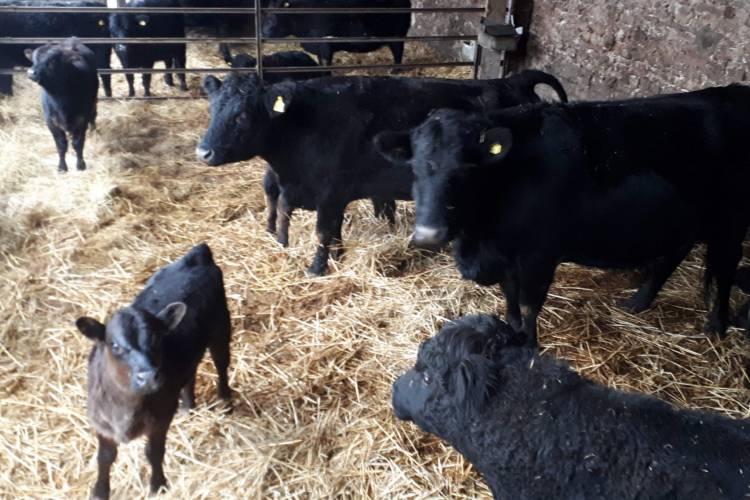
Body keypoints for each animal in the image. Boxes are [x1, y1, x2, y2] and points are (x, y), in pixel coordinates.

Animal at [27, 38, 98, 172]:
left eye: (53, 60)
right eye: (33, 60)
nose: (31, 72)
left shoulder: (82, 120)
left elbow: (78, 144)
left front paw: (80, 165)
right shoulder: (51, 122)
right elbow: (61, 145)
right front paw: (62, 167)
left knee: (94, 115)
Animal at [75, 243, 232, 500]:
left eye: (158, 339)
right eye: (114, 345)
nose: (149, 376)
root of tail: (197, 254)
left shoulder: (160, 419)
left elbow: (153, 452)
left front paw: (158, 485)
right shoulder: (101, 422)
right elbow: (105, 458)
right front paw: (99, 492)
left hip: (221, 329)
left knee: (222, 366)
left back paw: (226, 401)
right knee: (191, 373)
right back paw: (187, 406)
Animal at [195, 70, 568, 275]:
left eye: (243, 116)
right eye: (213, 109)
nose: (203, 151)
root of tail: (511, 80)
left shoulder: (330, 192)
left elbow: (322, 232)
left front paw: (316, 269)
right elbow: (333, 232)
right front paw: (338, 257)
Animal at [262, 0, 412, 67]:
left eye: (272, 18)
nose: (262, 34)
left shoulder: (325, 46)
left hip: (397, 35)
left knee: (398, 51)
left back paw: (395, 70)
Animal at [374, 85, 750, 344]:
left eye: (466, 169)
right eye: (414, 168)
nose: (428, 235)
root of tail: (733, 92)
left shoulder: (539, 256)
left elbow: (529, 305)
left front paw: (529, 345)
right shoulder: (507, 259)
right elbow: (510, 301)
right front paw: (515, 333)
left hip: (731, 223)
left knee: (726, 269)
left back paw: (717, 325)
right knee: (673, 255)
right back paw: (638, 302)